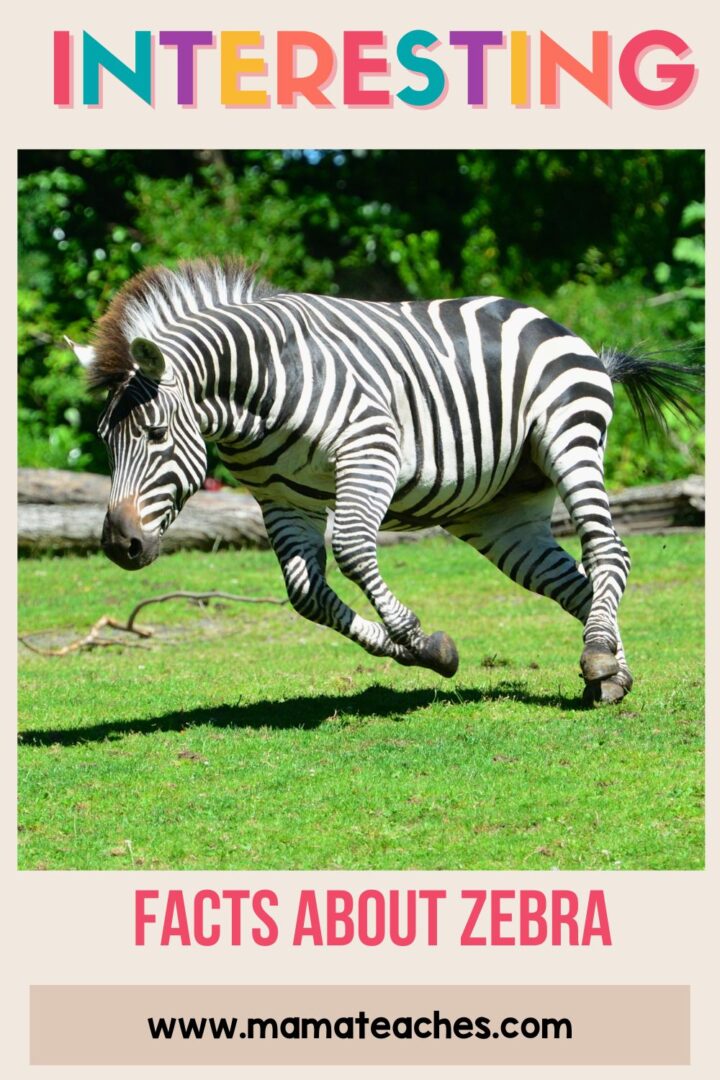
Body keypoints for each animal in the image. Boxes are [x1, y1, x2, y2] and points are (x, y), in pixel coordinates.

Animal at [66, 257, 700, 705]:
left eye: (155, 435)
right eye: (104, 440)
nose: (118, 546)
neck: (261, 386)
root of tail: (562, 328)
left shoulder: (370, 450)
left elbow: (350, 549)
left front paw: (418, 639)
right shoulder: (282, 498)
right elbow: (306, 593)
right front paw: (422, 652)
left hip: (569, 436)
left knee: (609, 551)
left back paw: (599, 654)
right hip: (499, 512)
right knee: (571, 582)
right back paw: (612, 671)